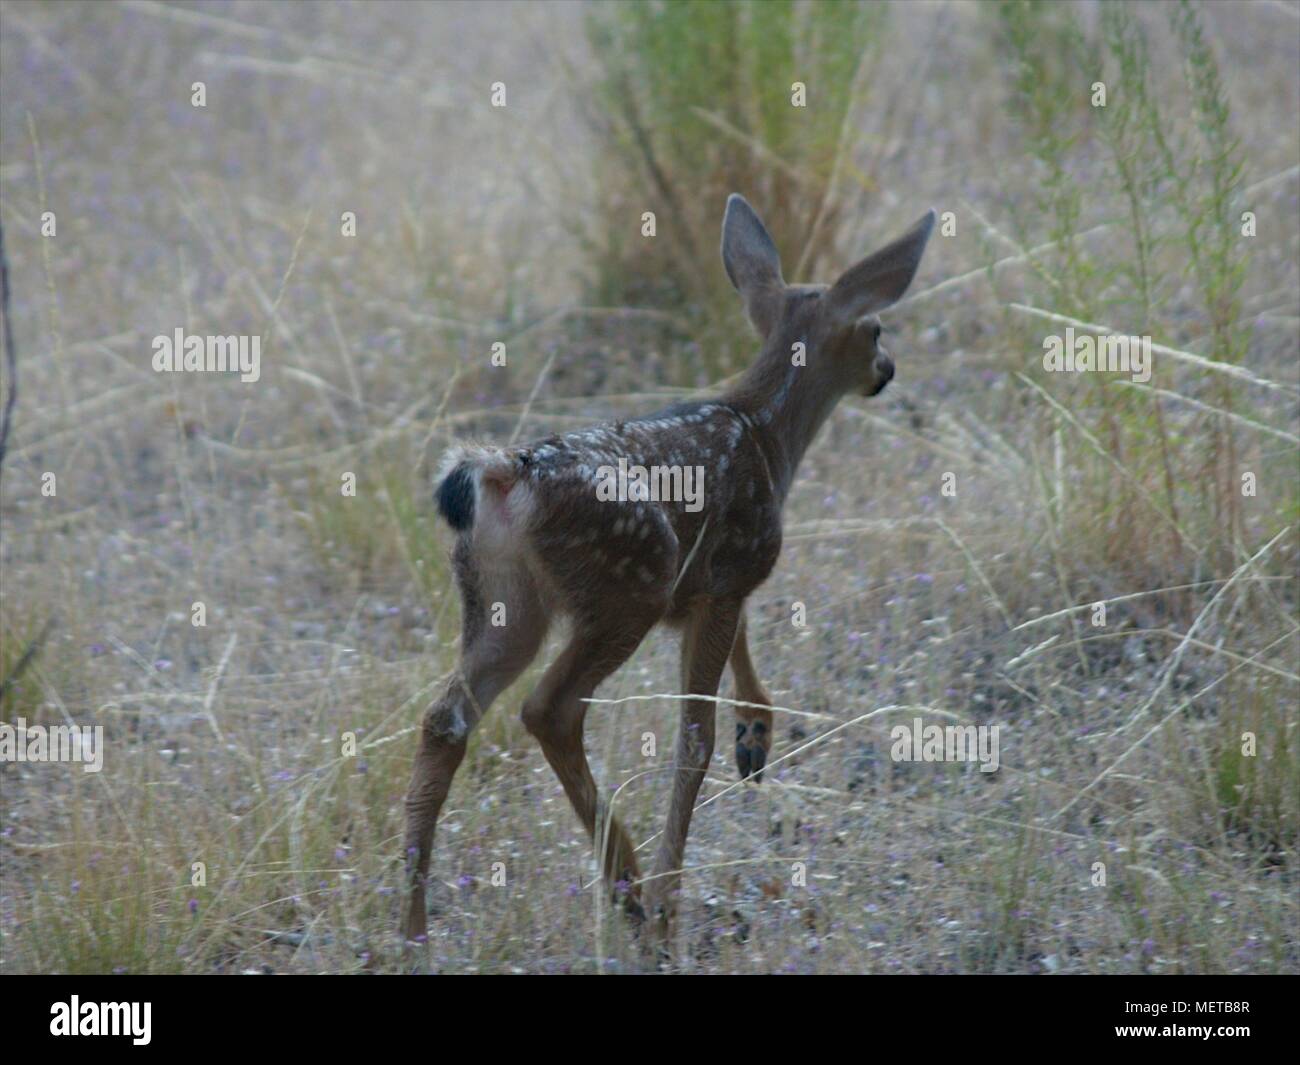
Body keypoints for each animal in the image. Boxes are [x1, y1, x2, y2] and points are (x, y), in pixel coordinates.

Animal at [402, 194, 936, 947]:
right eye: (877, 325)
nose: (886, 368)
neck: (767, 432)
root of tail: (503, 475)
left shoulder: (714, 585)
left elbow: (738, 665)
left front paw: (756, 737)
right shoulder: (729, 572)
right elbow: (693, 739)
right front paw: (667, 900)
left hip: (504, 601)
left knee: (444, 718)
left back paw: (411, 928)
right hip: (627, 587)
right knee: (550, 708)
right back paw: (628, 889)